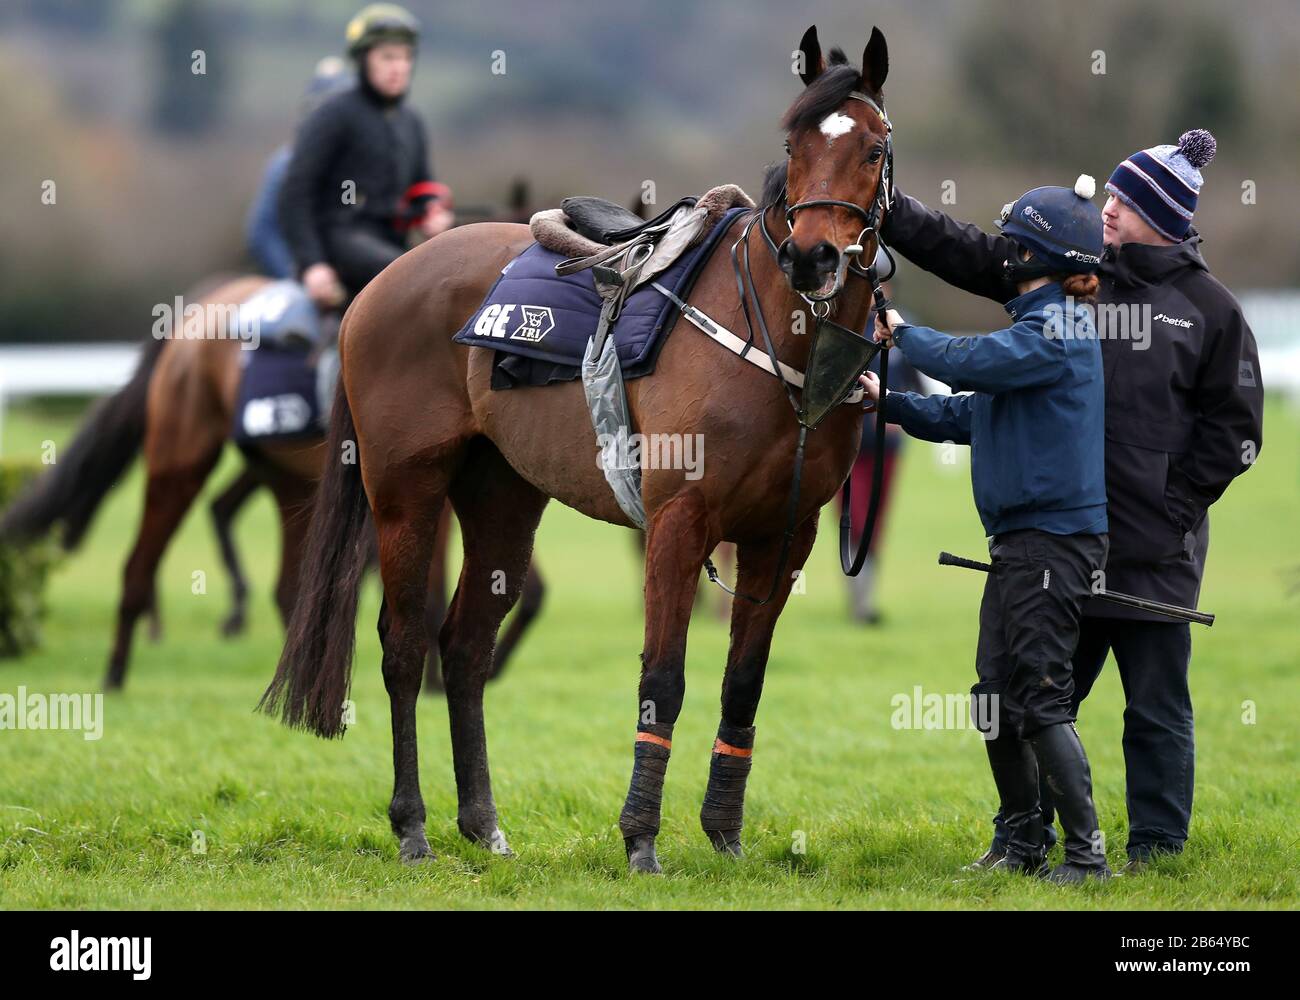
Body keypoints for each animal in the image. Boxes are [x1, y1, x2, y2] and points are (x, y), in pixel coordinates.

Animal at [261, 25, 893, 873]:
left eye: (872, 147)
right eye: (794, 145)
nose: (814, 256)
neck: (771, 330)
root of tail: (376, 287)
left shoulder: (785, 535)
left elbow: (743, 684)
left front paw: (724, 835)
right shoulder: (679, 523)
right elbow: (664, 680)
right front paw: (641, 839)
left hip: (501, 498)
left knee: (465, 648)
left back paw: (483, 823)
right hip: (405, 495)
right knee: (404, 647)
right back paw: (413, 826)